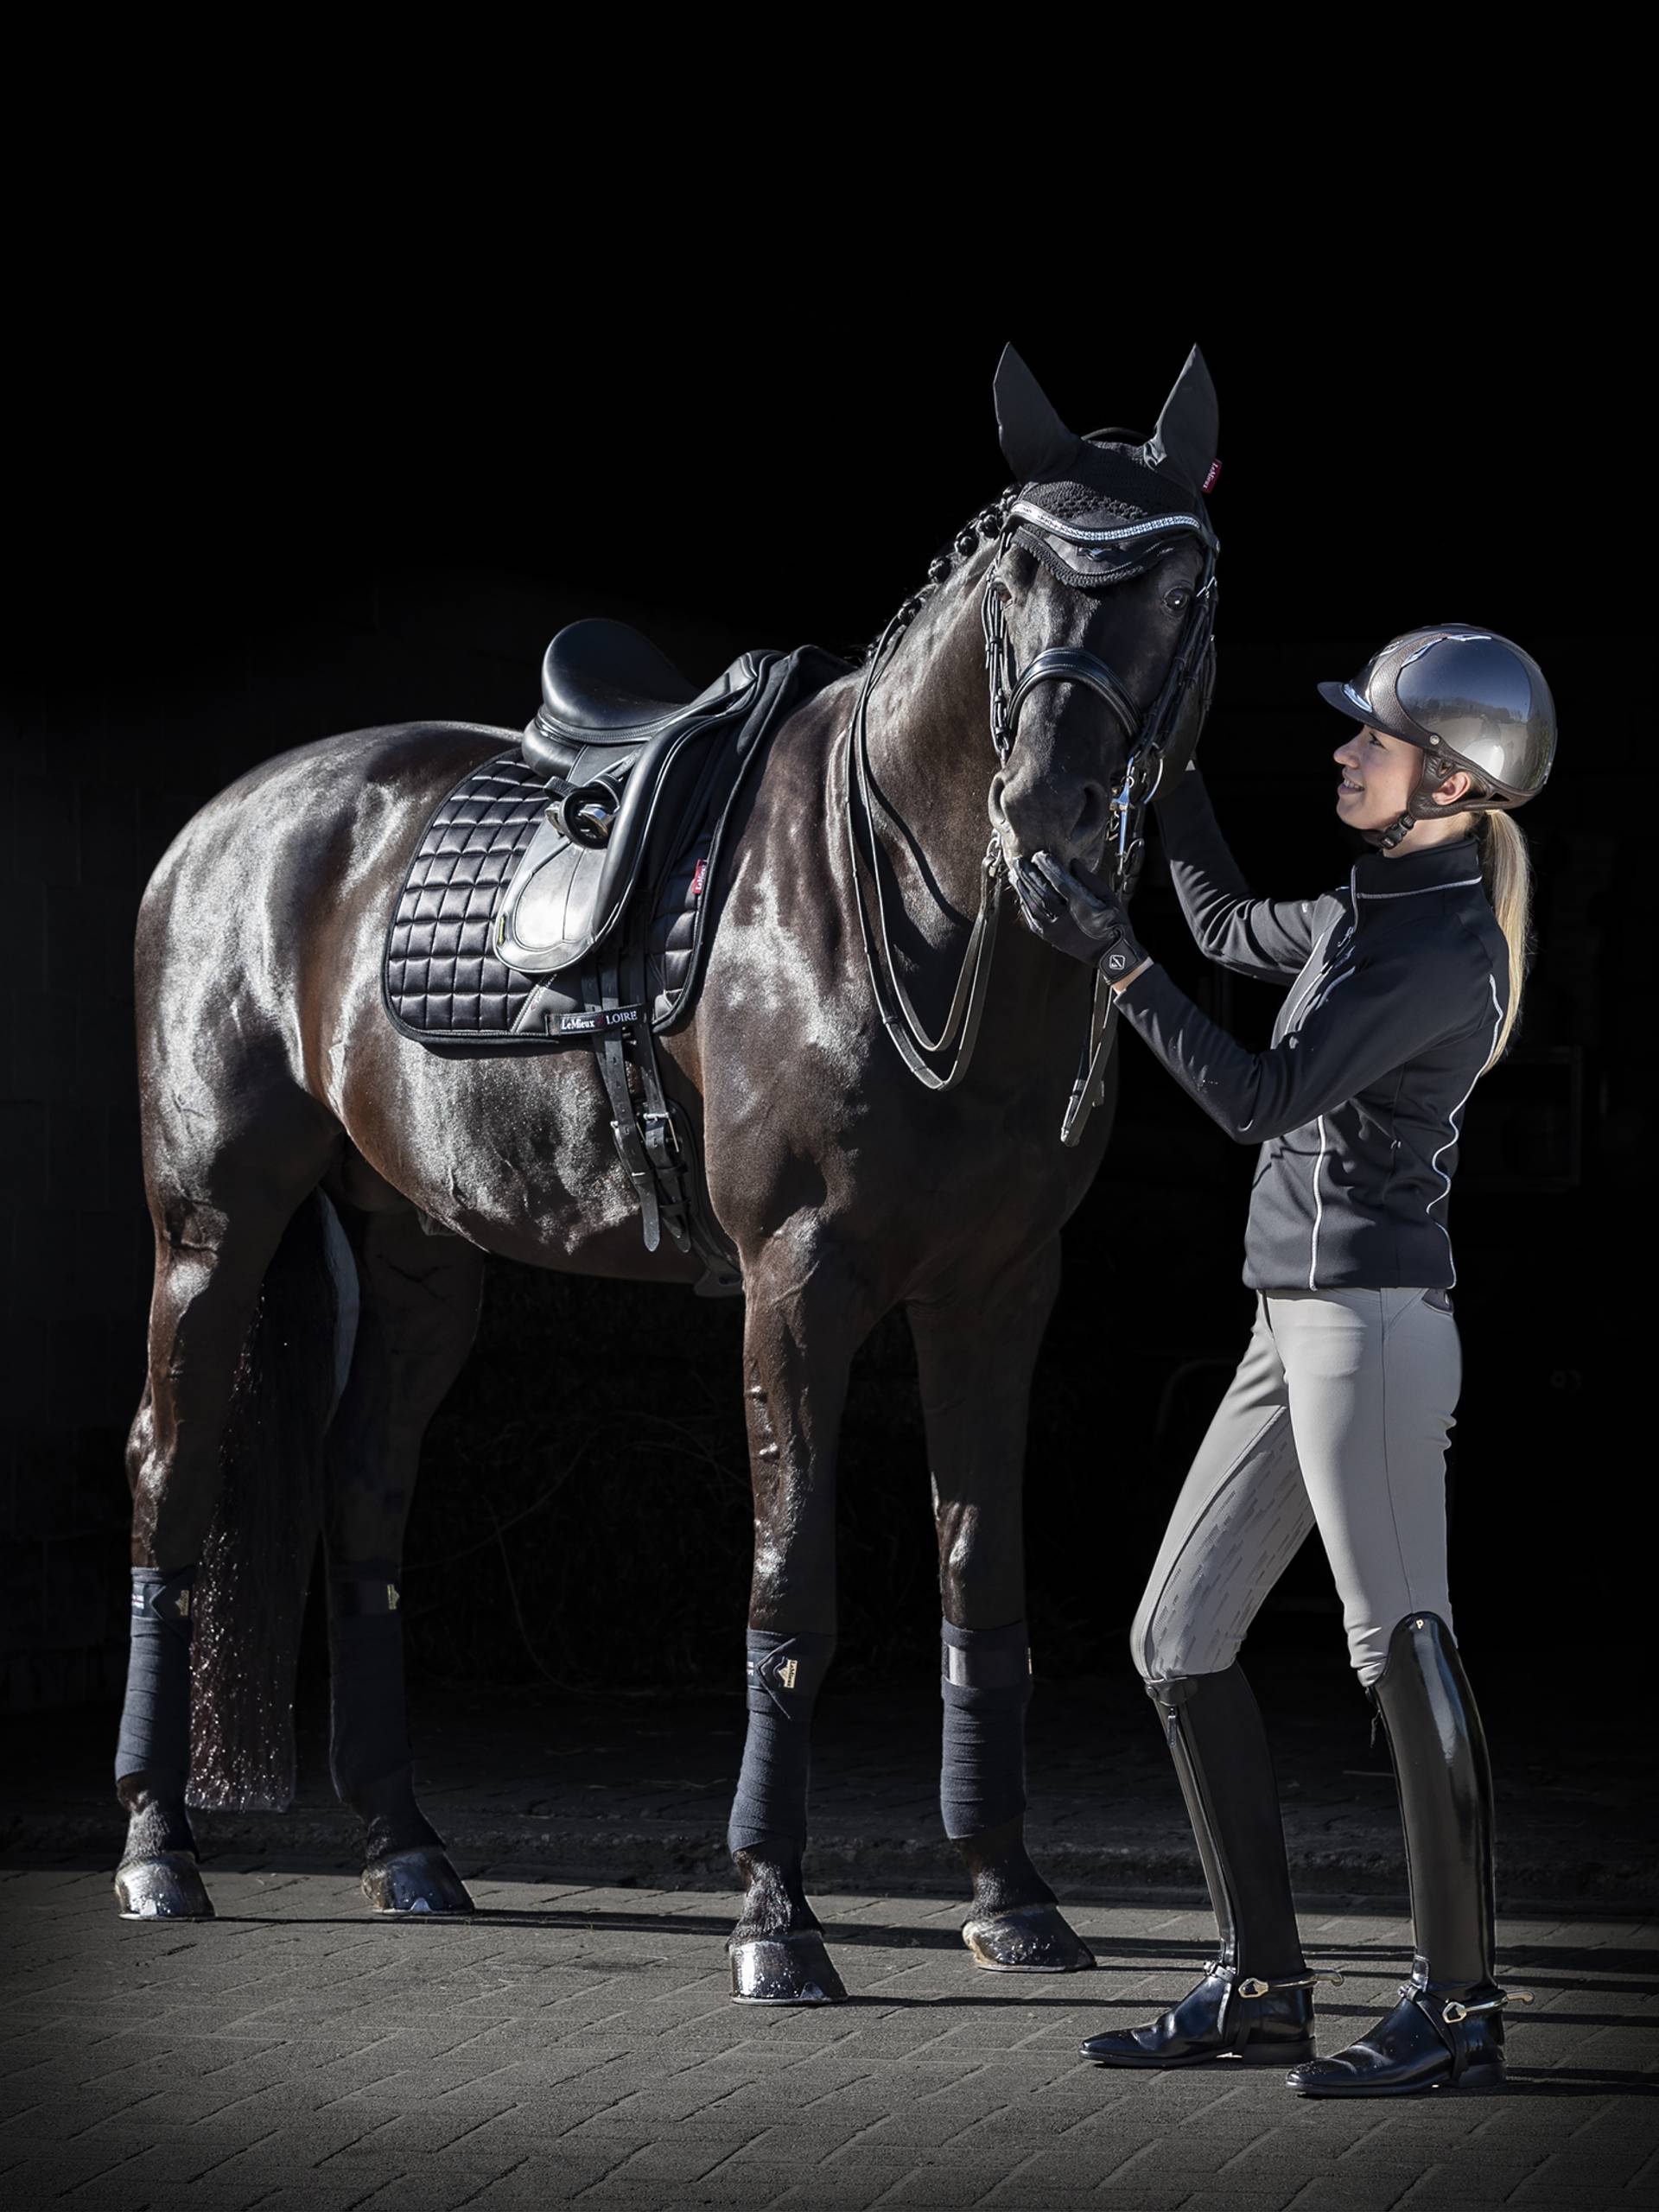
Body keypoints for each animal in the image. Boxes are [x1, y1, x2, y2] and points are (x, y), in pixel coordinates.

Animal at [112, 342, 1221, 2004]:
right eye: (1023, 569)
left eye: (1181, 580)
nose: (1051, 813)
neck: (911, 905)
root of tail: (222, 823)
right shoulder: (798, 1280)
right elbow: (790, 1589)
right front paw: (776, 1914)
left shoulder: (999, 1291)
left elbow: (984, 1583)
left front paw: (1011, 1895)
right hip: (213, 1227)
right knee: (168, 1479)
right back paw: (156, 1850)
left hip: (421, 1252)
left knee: (365, 1490)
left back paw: (407, 1849)